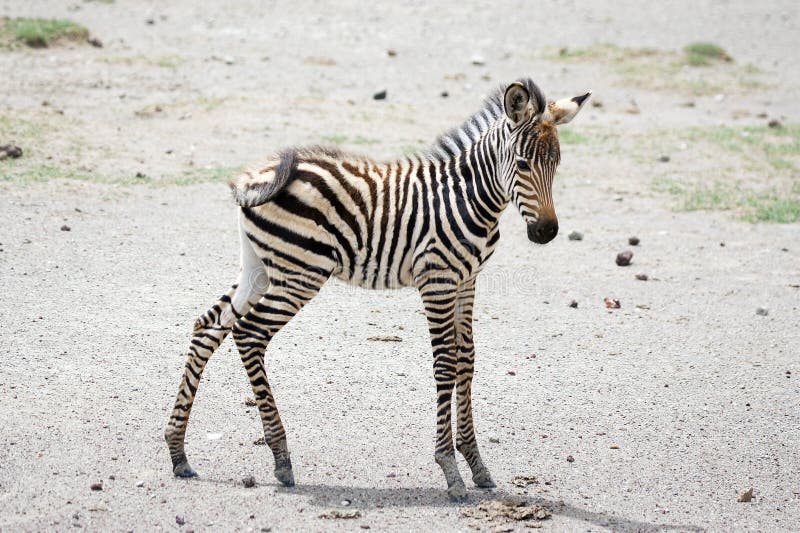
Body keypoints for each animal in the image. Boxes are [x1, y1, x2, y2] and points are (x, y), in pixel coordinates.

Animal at [165, 78, 590, 502]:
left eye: (556, 165)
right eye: (522, 165)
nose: (546, 232)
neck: (470, 199)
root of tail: (257, 177)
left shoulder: (467, 281)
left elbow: (467, 360)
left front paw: (476, 464)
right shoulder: (436, 280)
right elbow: (445, 363)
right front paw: (450, 471)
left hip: (260, 268)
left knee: (208, 326)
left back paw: (178, 451)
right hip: (300, 271)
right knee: (249, 333)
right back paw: (281, 458)